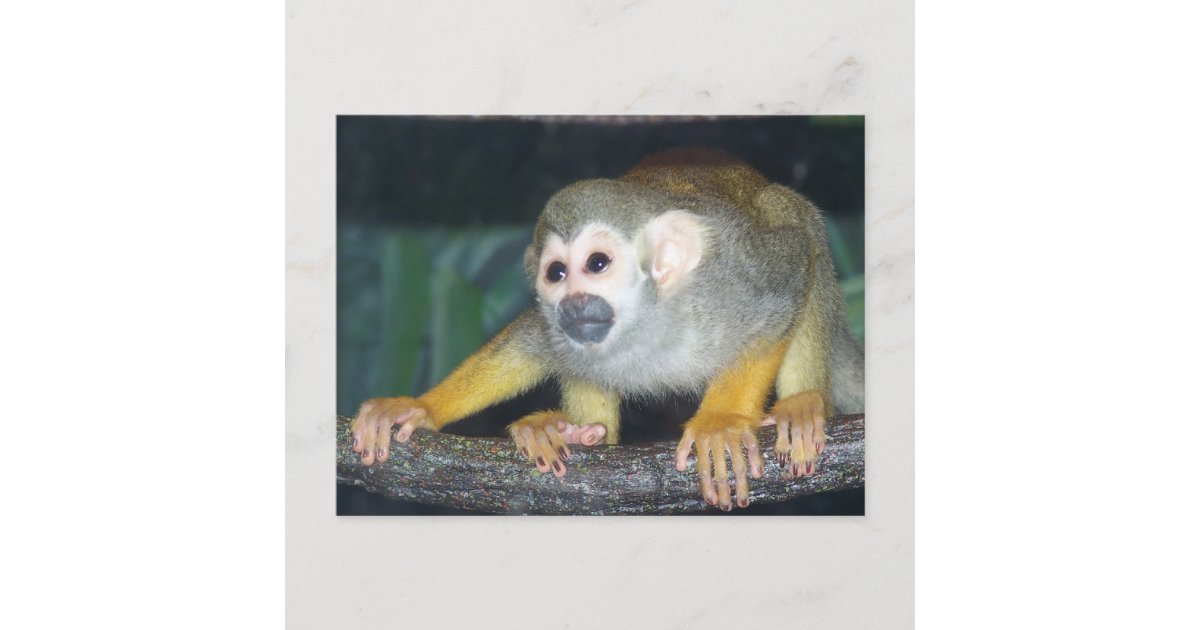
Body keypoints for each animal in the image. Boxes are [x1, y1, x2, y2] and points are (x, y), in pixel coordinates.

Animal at [350, 147, 865, 511]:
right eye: (556, 273)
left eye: (596, 264)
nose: (573, 303)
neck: (647, 317)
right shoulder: (561, 326)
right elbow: (530, 344)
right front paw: (419, 408)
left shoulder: (730, 282)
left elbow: (787, 280)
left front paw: (721, 422)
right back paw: (572, 432)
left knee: (794, 220)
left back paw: (803, 407)